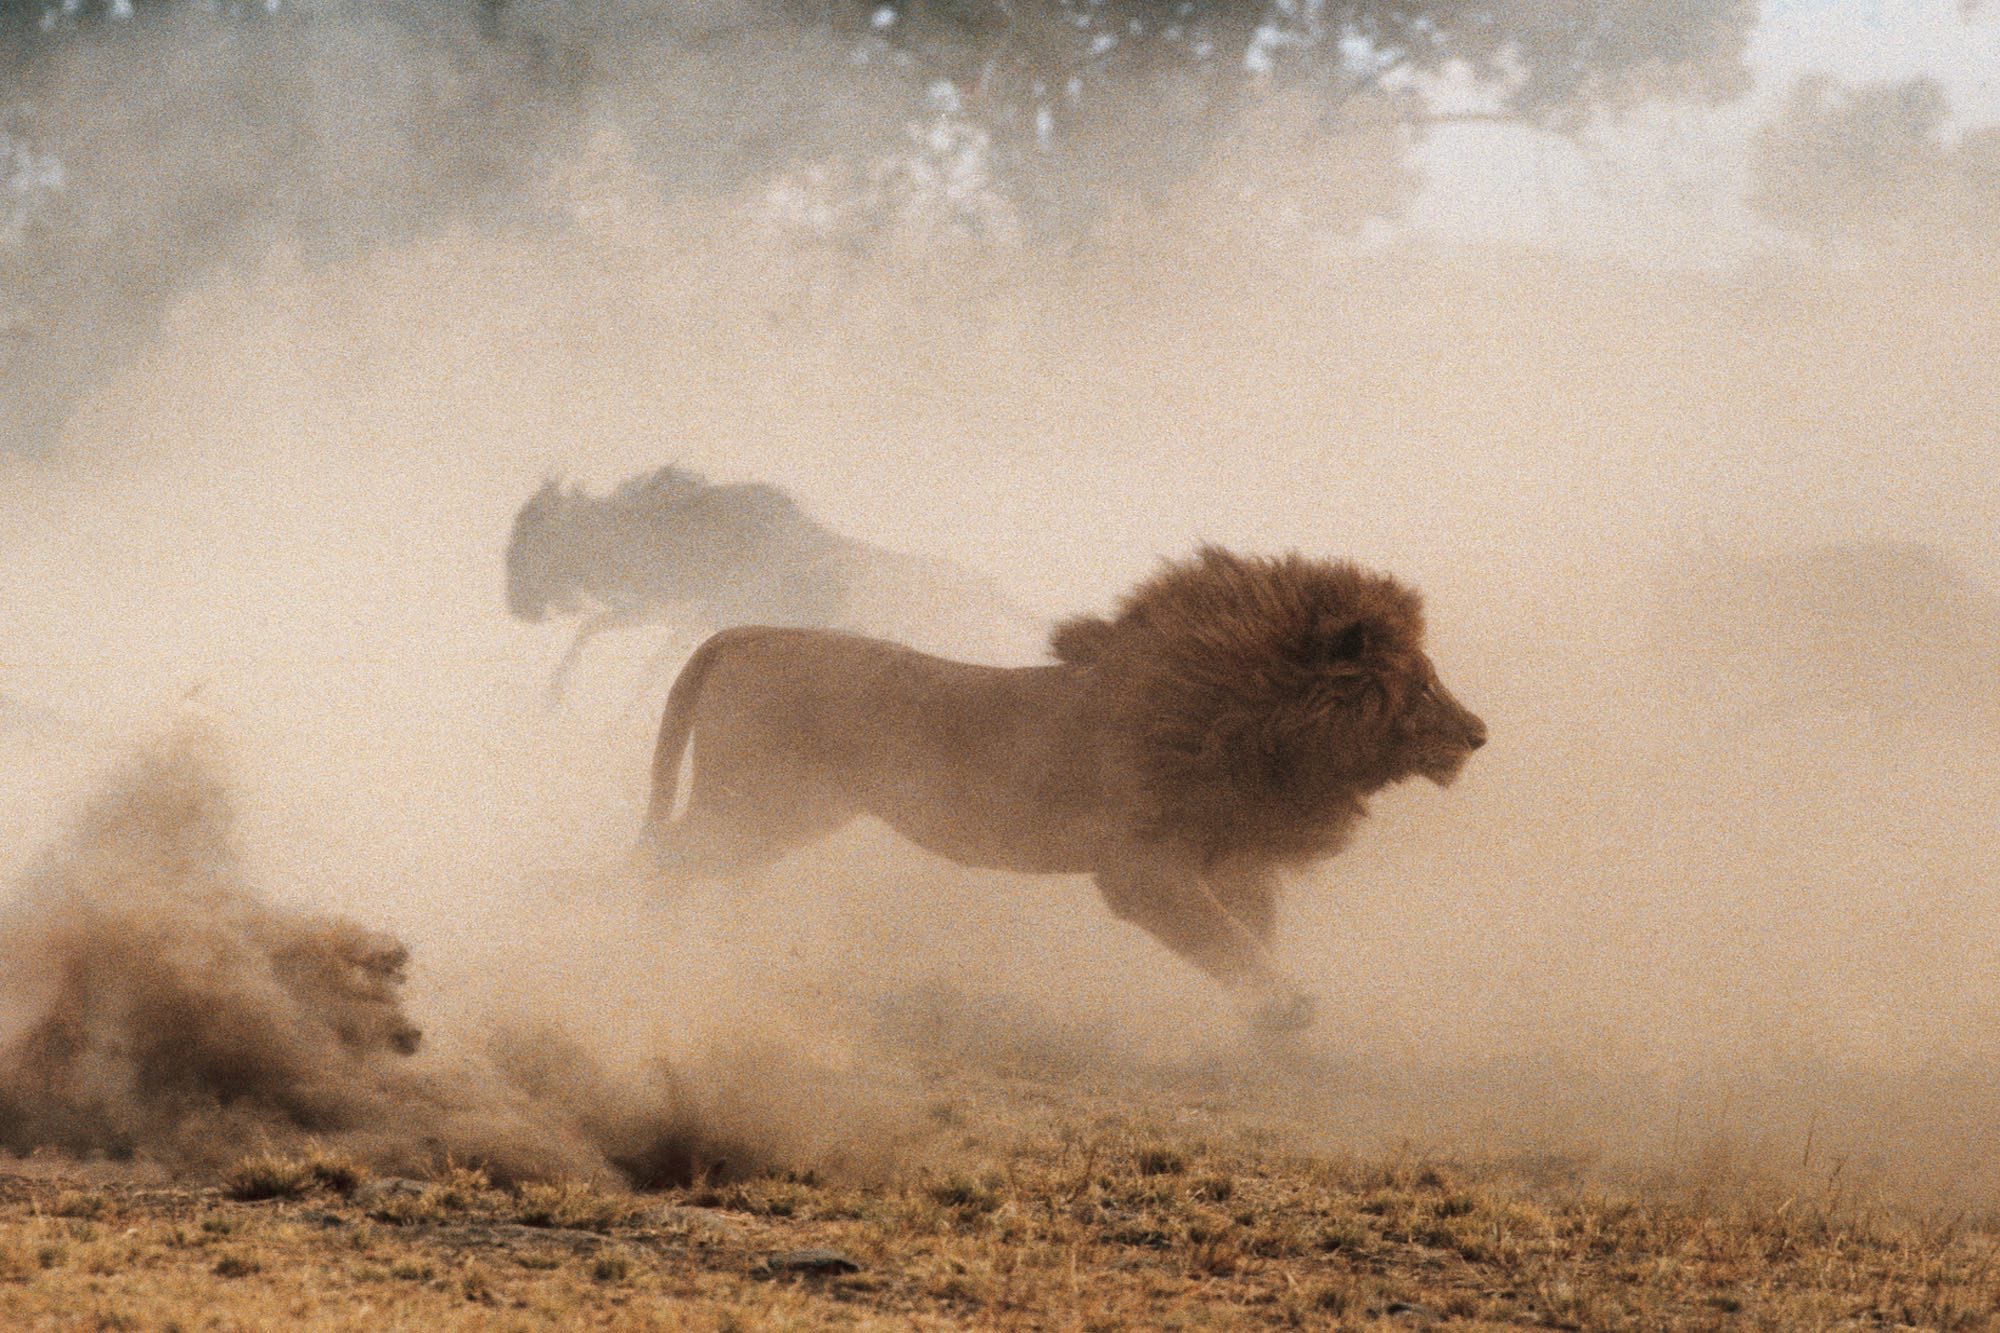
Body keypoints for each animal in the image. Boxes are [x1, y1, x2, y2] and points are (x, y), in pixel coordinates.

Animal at [637, 546, 1486, 1030]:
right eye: (1420, 686)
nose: (1480, 733)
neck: (1250, 716)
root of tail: (743, 632)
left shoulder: (1226, 857)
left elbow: (1249, 932)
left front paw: (1265, 1020)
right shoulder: (1139, 868)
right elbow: (1226, 937)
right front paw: (1286, 1007)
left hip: (778, 815)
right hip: (755, 802)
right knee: (652, 863)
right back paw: (636, 955)